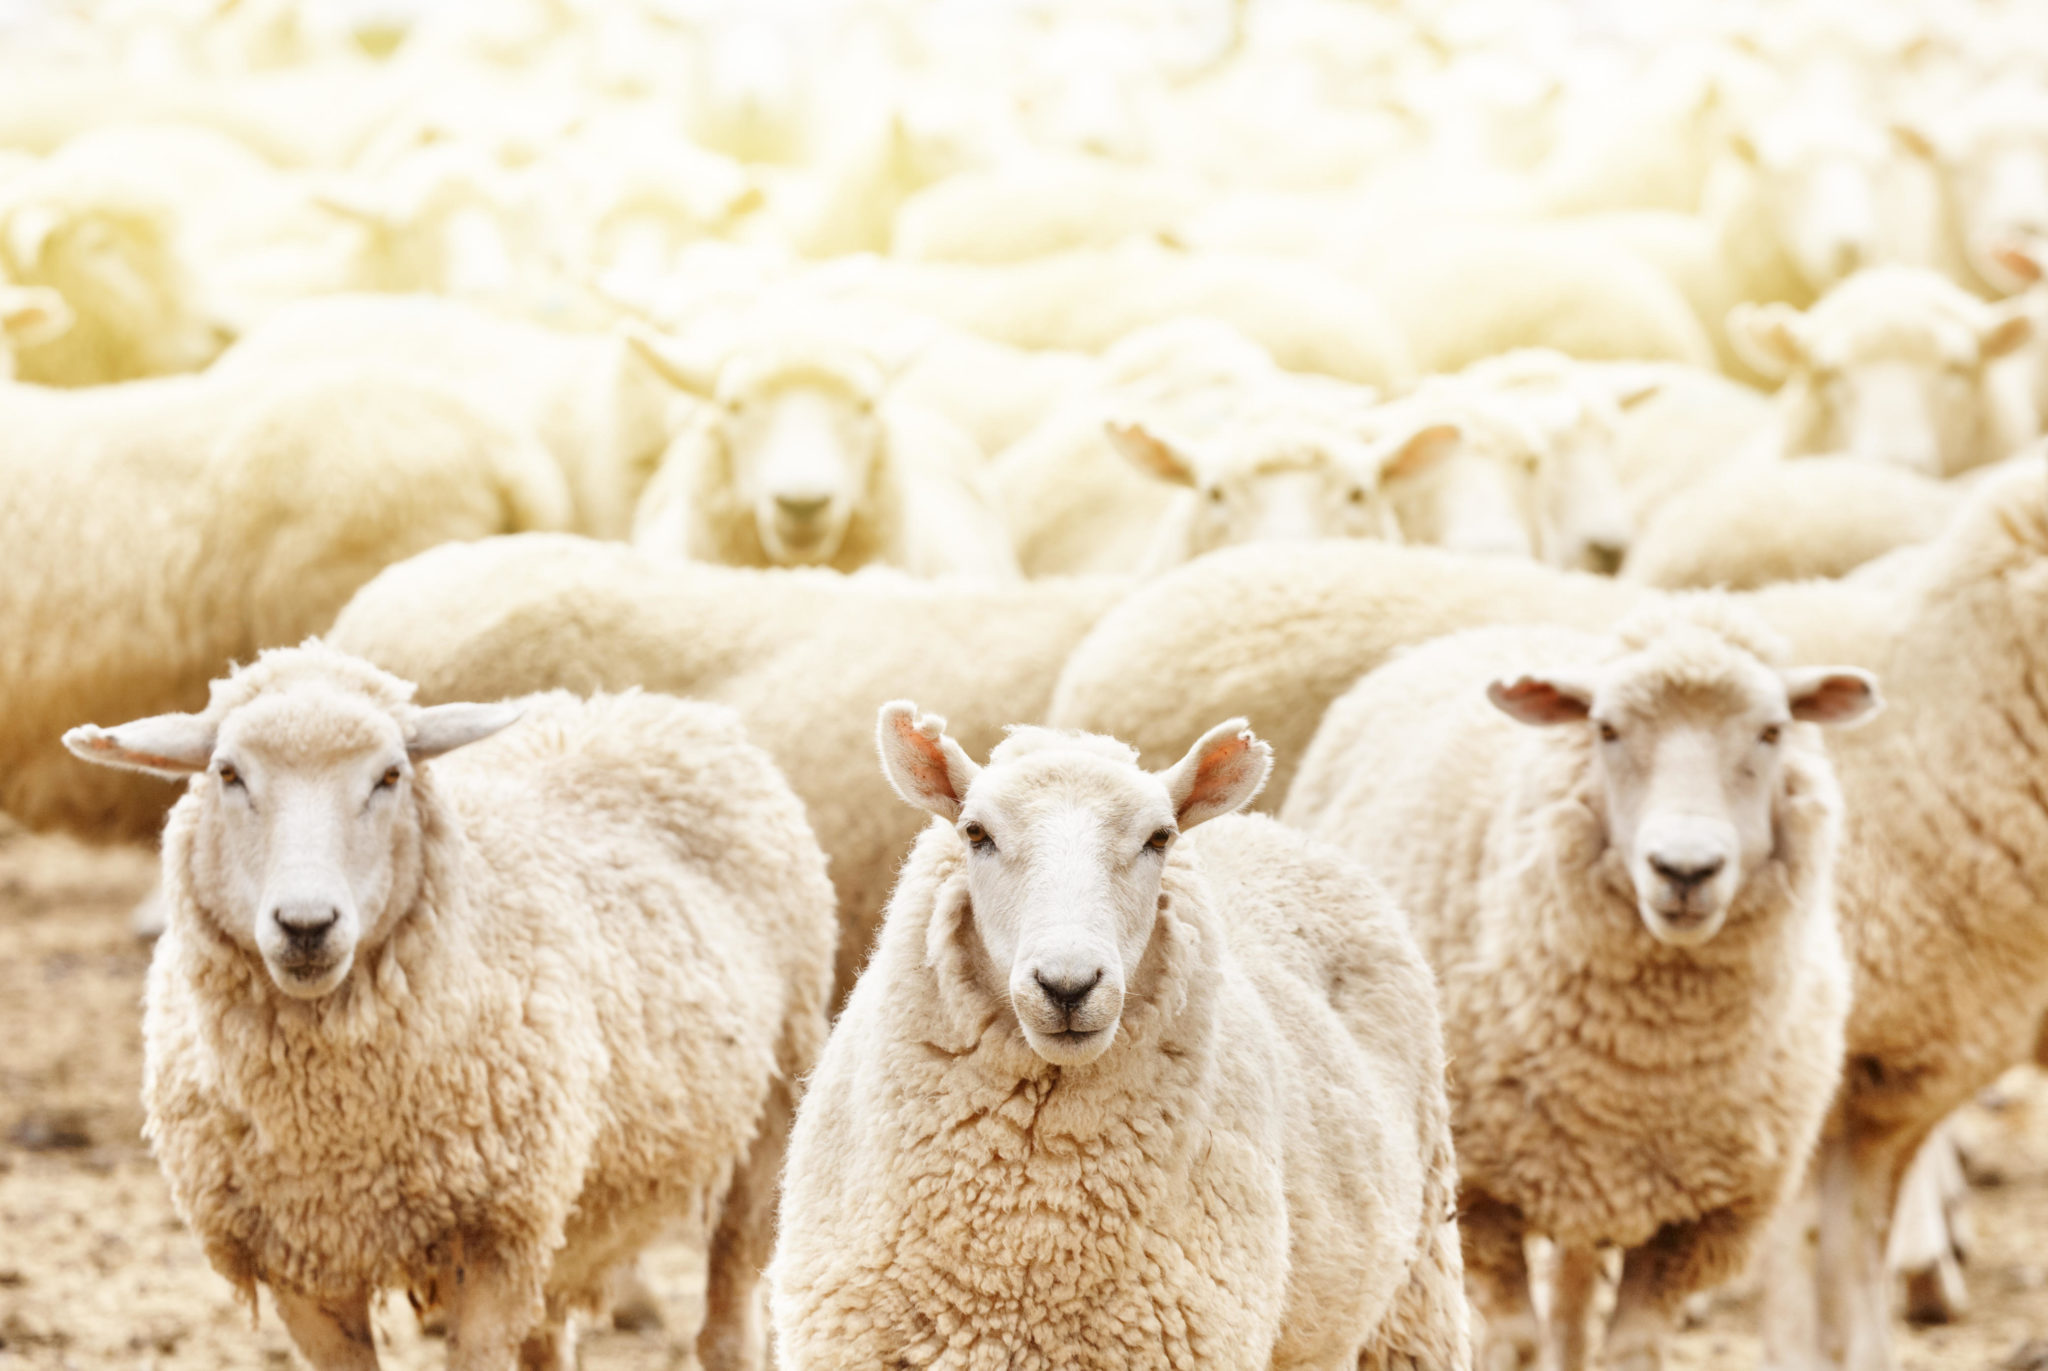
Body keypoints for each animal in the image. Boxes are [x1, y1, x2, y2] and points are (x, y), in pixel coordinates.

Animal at [63, 643, 837, 1371]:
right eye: (228, 773)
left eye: (390, 776)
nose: (306, 925)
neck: (337, 1135)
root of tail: (658, 705)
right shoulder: (302, 1263)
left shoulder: (496, 1238)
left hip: (769, 1113)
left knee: (728, 1323)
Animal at [769, 704, 1471, 1370]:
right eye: (975, 833)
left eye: (1159, 837)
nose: (1068, 984)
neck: (1024, 1247)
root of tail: (1274, 829)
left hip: (1415, 1292)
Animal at [1283, 600, 1875, 1371]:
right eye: (1606, 729)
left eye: (1772, 731)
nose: (1685, 869)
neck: (1646, 1065)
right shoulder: (1485, 1198)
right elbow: (1515, 1343)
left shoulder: (1699, 1222)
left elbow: (1631, 1350)